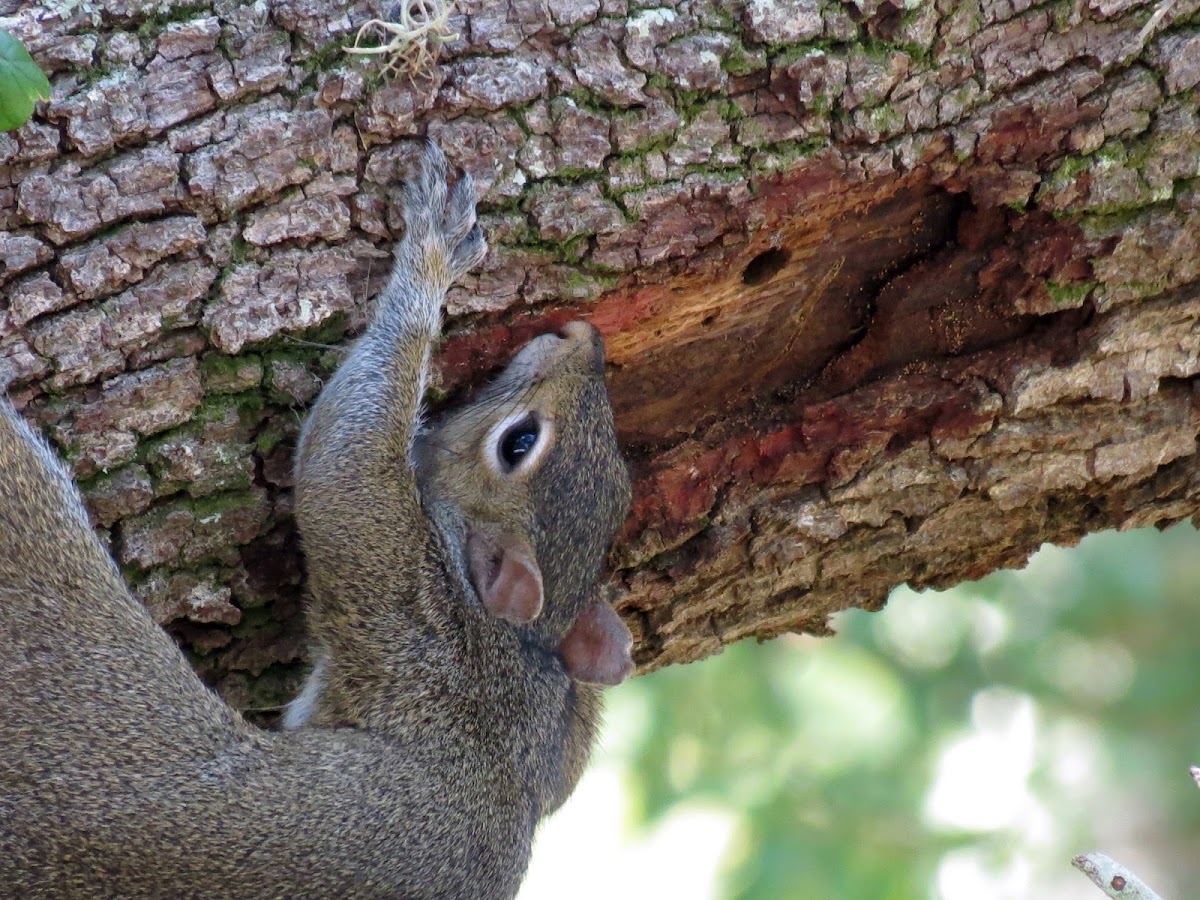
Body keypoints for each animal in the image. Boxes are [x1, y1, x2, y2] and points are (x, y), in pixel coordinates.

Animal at [0, 141, 633, 898]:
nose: (586, 336)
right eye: (624, 486)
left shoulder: (413, 616)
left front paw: (432, 256)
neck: (518, 640)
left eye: (519, 443)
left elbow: (342, 469)